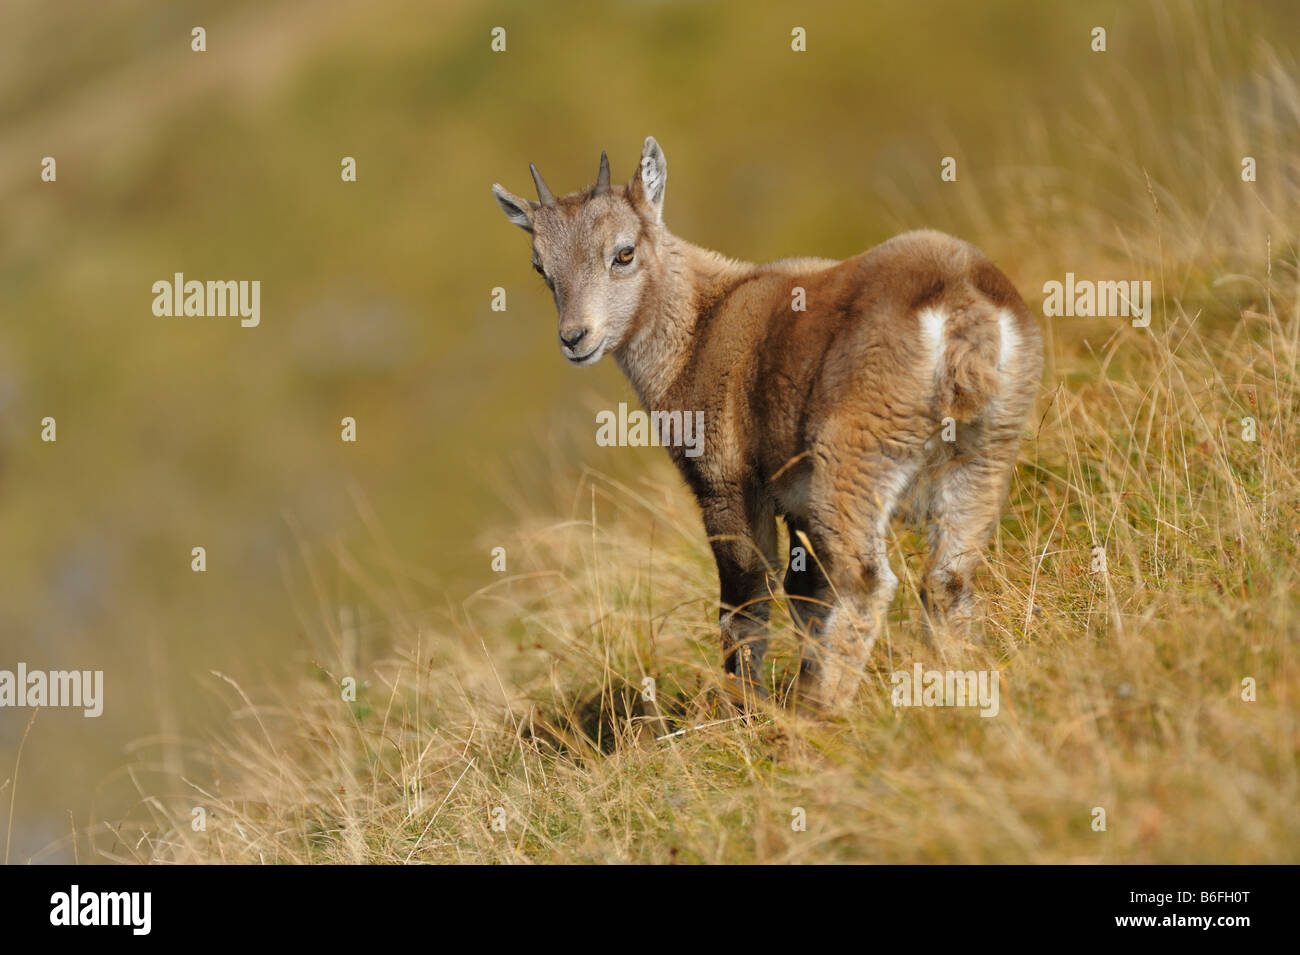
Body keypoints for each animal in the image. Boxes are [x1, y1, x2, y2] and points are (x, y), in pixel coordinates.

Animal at [492, 137, 1043, 709]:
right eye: (541, 267)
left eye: (623, 252)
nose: (575, 337)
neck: (701, 327)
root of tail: (962, 304)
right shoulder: (795, 504)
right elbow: (808, 601)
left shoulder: (728, 485)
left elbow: (744, 606)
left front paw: (745, 710)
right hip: (985, 454)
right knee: (947, 579)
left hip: (854, 459)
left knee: (865, 582)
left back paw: (822, 710)